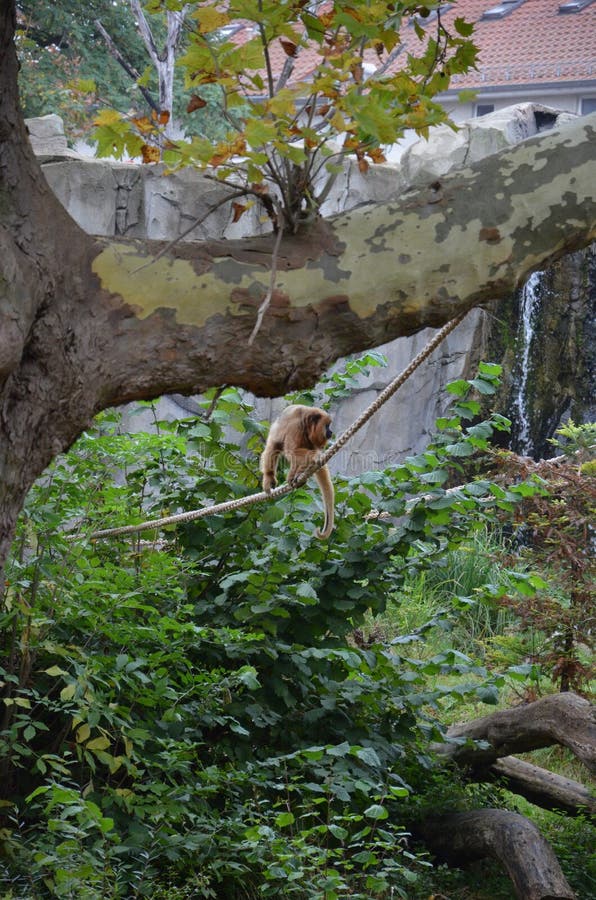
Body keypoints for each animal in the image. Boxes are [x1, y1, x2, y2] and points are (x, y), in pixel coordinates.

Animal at [260, 404, 334, 539]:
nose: (331, 432)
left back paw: (296, 475)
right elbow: (292, 451)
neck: (305, 423)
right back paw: (269, 476)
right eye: (327, 426)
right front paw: (316, 456)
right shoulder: (295, 427)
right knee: (273, 448)